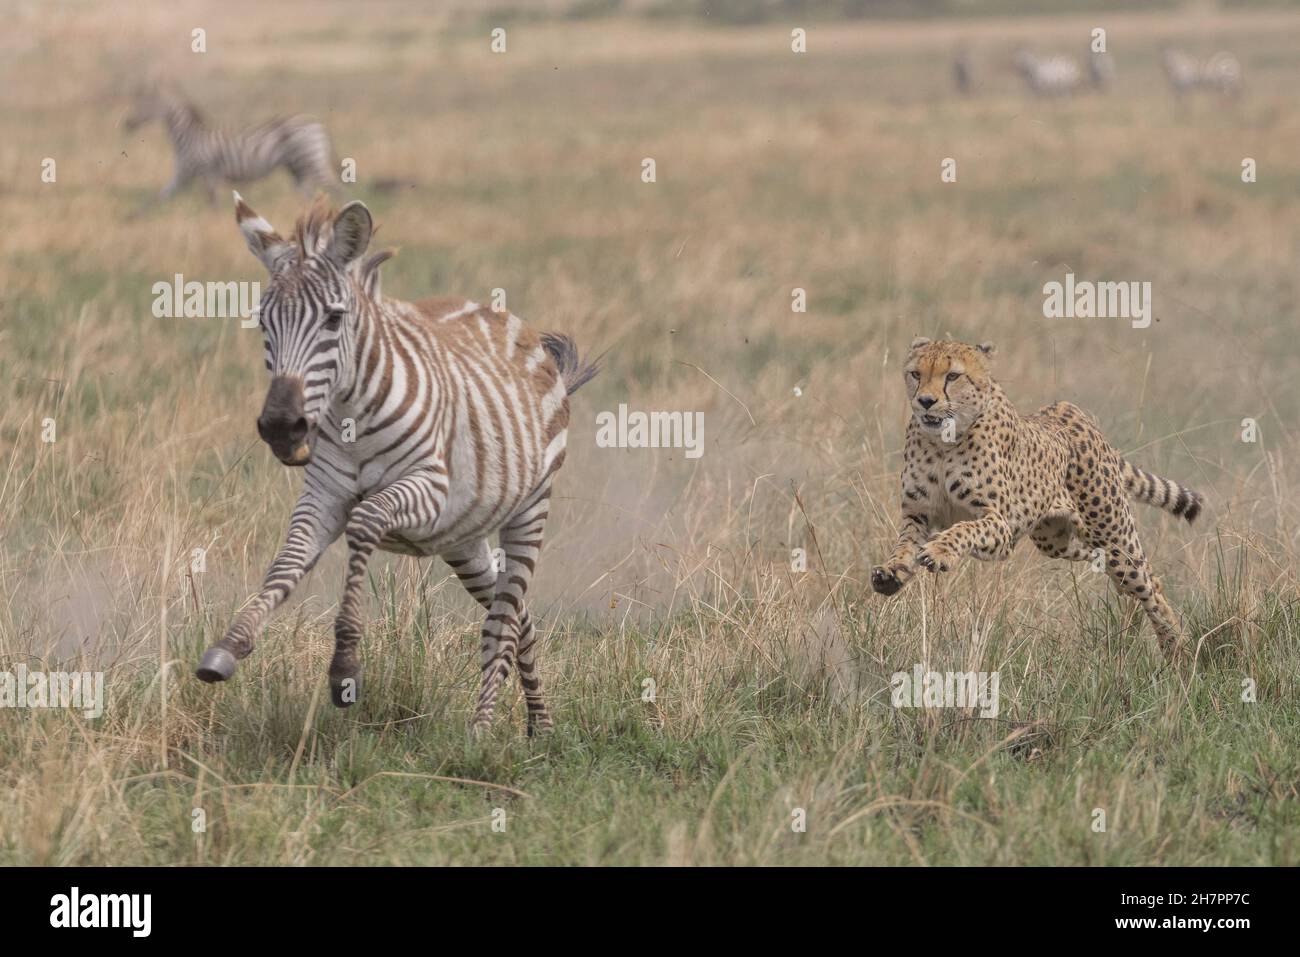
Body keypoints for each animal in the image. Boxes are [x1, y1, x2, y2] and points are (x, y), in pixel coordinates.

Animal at [124, 85, 335, 204]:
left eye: (145, 104)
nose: (127, 124)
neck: (189, 137)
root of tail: (318, 123)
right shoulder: (183, 175)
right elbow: (160, 197)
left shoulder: (208, 173)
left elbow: (212, 203)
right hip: (298, 168)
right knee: (308, 195)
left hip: (311, 158)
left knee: (334, 185)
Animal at [194, 194, 600, 735]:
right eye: (263, 322)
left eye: (333, 320)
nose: (282, 426)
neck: (352, 417)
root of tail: (515, 323)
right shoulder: (321, 497)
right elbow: (286, 563)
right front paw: (229, 646)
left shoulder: (428, 488)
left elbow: (365, 520)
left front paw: (345, 666)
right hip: (463, 538)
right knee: (518, 618)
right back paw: (539, 728)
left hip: (529, 511)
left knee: (503, 622)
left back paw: (483, 732)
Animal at [870, 336, 1204, 657]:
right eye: (916, 374)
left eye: (952, 376)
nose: (925, 401)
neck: (943, 442)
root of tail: (1073, 412)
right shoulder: (919, 514)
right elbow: (905, 544)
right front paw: (893, 571)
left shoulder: (1001, 527)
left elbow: (965, 529)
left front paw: (939, 551)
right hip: (1054, 541)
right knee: (1105, 563)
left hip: (1114, 537)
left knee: (1149, 581)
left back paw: (1176, 648)